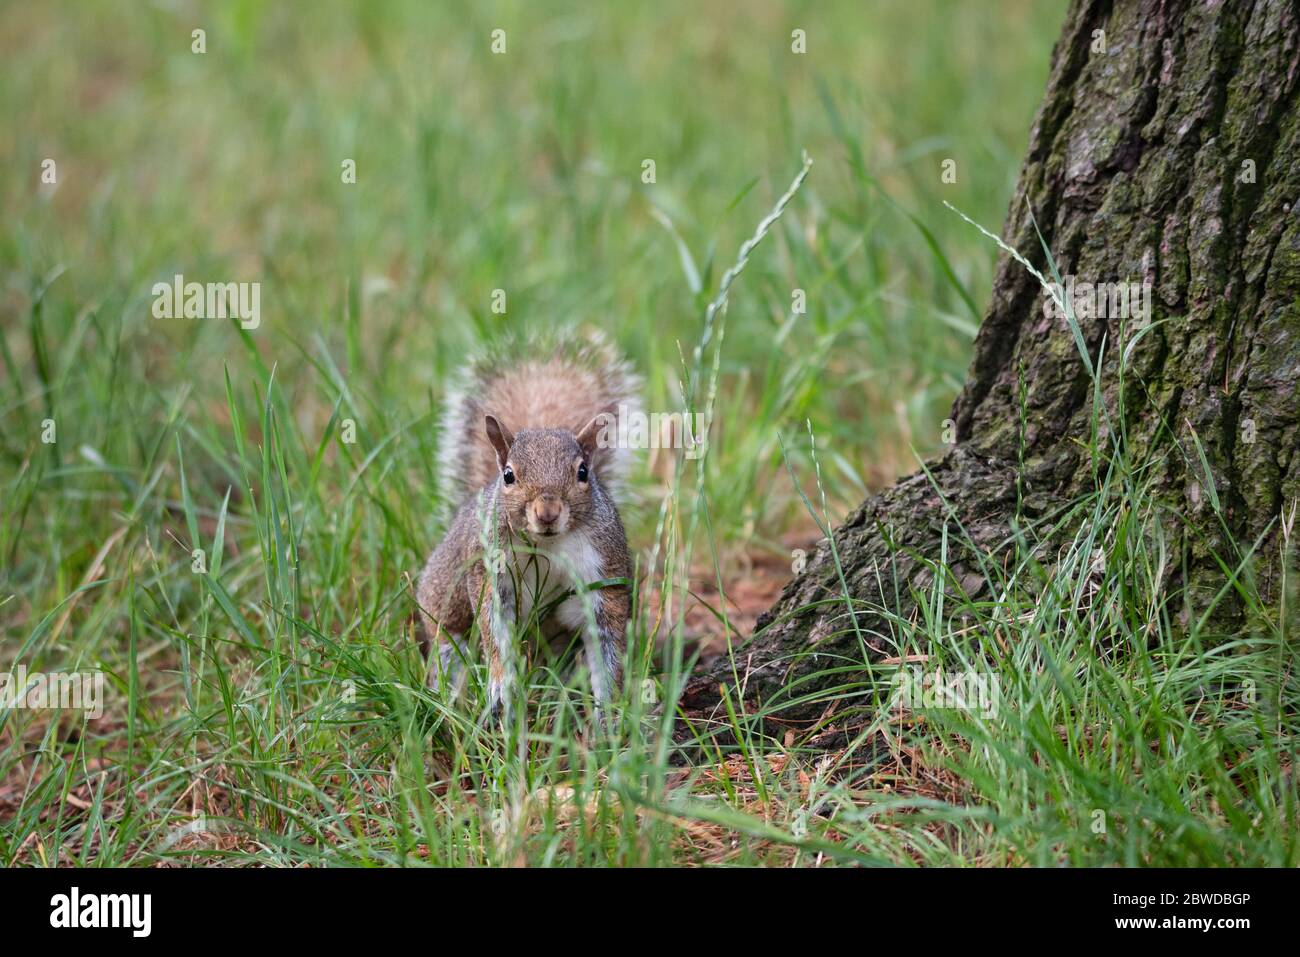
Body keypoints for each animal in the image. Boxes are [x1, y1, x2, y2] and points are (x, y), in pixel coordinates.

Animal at [415, 330, 641, 720]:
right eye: (508, 476)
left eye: (583, 472)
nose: (547, 511)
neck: (548, 544)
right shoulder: (490, 571)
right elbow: (494, 628)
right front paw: (500, 685)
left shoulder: (603, 572)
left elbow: (608, 643)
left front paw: (609, 712)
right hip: (445, 609)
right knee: (449, 654)